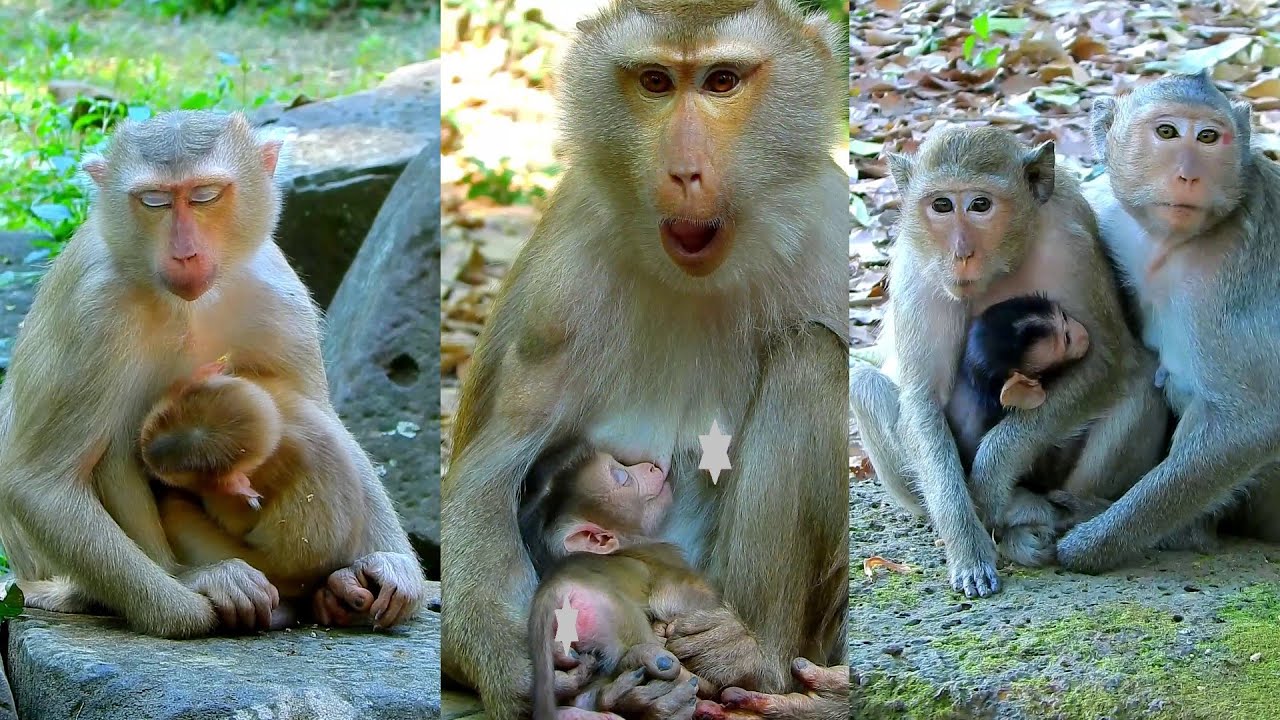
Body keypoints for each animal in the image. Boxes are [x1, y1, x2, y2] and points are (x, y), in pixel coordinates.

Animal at [0, 110, 425, 638]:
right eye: (154, 201)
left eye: (205, 195)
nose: (184, 253)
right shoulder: (93, 309)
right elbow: (40, 484)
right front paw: (190, 603)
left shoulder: (279, 291)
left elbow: (321, 416)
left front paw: (392, 565)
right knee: (113, 443)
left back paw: (335, 592)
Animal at [441, 2, 850, 718]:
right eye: (655, 82)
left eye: (721, 81)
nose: (684, 173)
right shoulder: (562, 287)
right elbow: (492, 470)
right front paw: (518, 672)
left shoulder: (832, 232)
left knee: (813, 359)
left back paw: (756, 658)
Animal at [848, 125, 1169, 598]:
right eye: (941, 205)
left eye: (980, 205)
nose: (960, 252)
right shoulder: (917, 267)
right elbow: (923, 397)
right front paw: (967, 543)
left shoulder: (1069, 243)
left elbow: (1107, 358)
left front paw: (992, 473)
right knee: (863, 383)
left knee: (1142, 381)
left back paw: (1067, 509)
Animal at [1062, 70, 1280, 570]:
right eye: (1166, 132)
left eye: (1208, 137)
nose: (1188, 174)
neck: (1172, 244)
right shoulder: (1106, 213)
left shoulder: (1232, 283)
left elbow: (1253, 422)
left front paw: (1091, 545)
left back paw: (1186, 534)